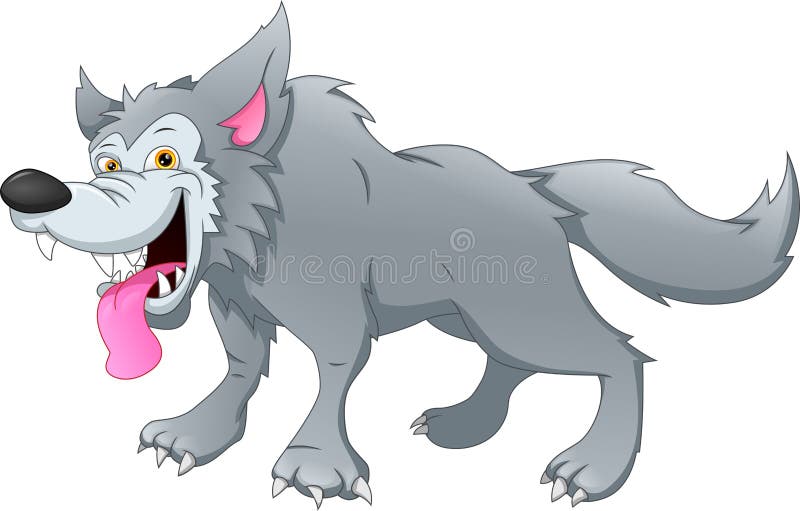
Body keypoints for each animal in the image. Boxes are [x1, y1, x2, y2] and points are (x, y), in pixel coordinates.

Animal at [1, 5, 797, 508]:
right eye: (105, 163)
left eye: (166, 157)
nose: (29, 188)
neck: (257, 226)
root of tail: (534, 188)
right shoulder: (233, 301)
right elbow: (240, 366)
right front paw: (194, 434)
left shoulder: (330, 310)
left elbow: (332, 370)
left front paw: (315, 467)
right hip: (464, 313)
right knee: (514, 362)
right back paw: (466, 425)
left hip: (518, 306)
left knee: (618, 354)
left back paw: (593, 469)